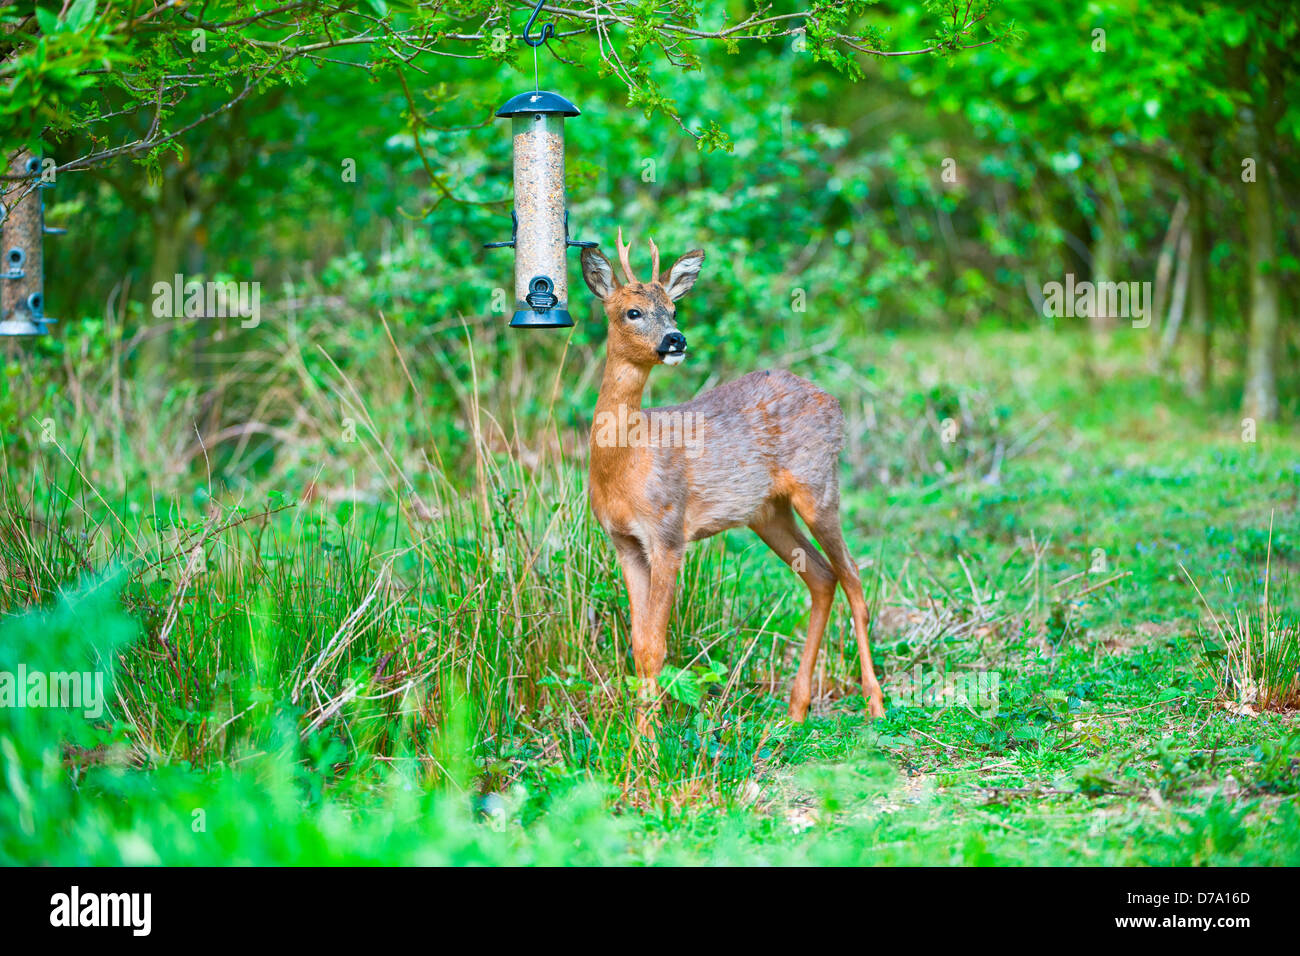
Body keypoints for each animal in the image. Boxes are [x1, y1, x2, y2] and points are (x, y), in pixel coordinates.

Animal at [580, 228, 885, 734]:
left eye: (674, 308)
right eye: (632, 311)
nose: (677, 339)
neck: (626, 463)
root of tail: (834, 402)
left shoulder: (669, 534)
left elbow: (656, 647)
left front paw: (651, 743)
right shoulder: (623, 542)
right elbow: (639, 647)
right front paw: (637, 739)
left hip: (819, 486)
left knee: (853, 578)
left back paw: (875, 704)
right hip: (767, 512)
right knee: (823, 578)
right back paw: (795, 712)